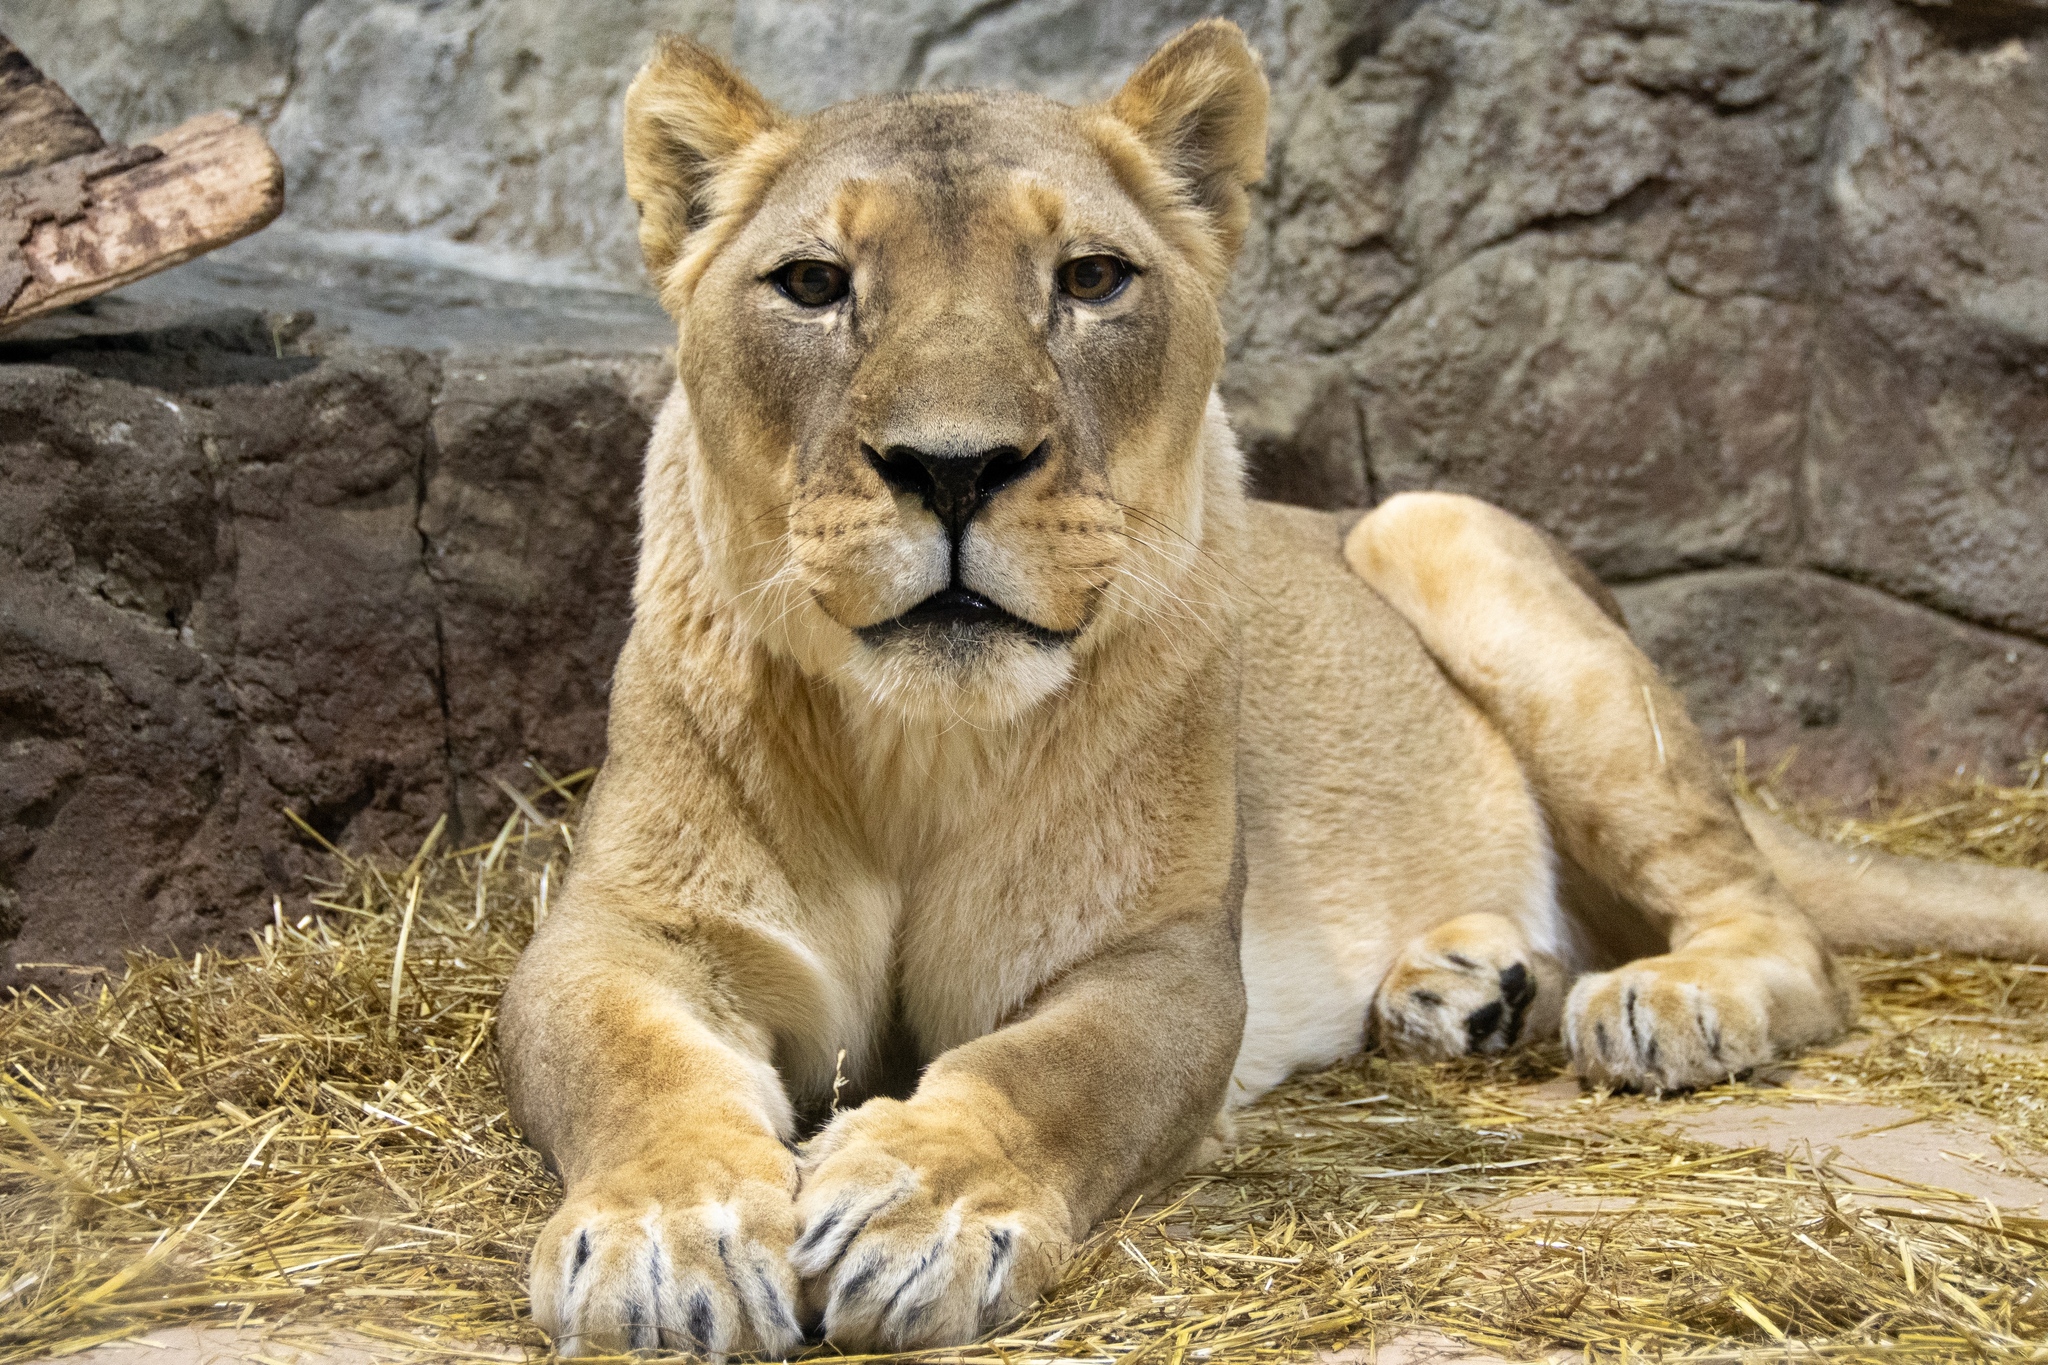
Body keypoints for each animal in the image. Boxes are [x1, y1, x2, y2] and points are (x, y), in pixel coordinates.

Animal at [497, 20, 2048, 1357]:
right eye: (815, 284)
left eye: (1090, 280)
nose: (953, 467)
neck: (916, 749)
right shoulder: (625, 932)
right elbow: (633, 1068)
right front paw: (666, 1241)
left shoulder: (1164, 959)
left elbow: (1049, 1073)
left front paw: (913, 1206)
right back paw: (1466, 988)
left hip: (1437, 529)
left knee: (1789, 933)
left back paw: (1667, 1003)